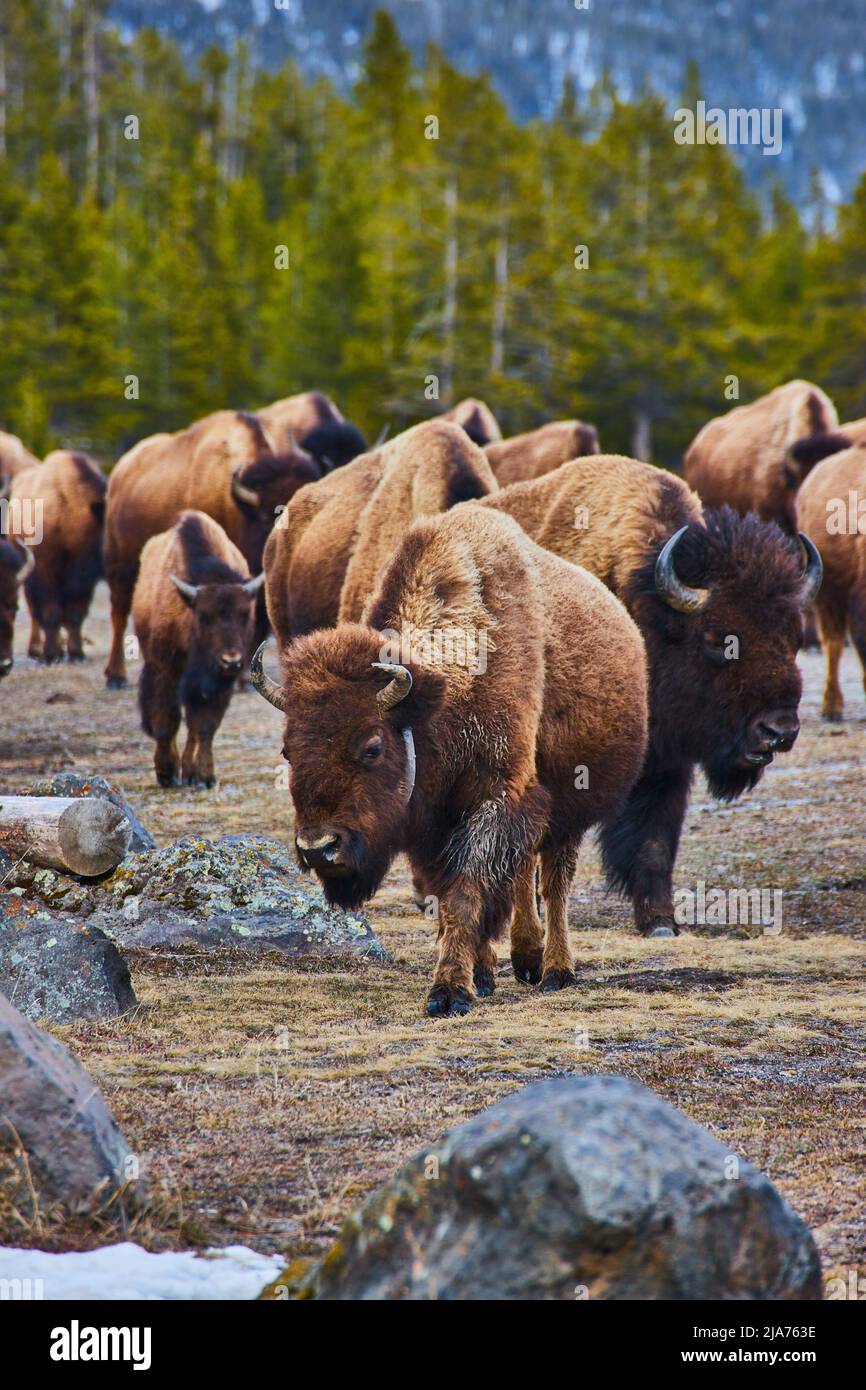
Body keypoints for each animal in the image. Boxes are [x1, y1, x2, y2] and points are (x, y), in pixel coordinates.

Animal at [132, 510, 264, 788]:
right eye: (204, 616)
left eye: (244, 614)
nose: (231, 661)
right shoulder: (164, 671)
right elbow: (166, 720)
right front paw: (166, 773)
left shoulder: (217, 685)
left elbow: (204, 726)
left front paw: (204, 776)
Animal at [251, 503, 648, 1016]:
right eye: (288, 750)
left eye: (373, 746)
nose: (319, 848)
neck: (443, 696)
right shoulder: (434, 825)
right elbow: (452, 893)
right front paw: (478, 975)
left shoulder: (497, 800)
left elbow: (466, 890)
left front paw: (449, 991)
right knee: (523, 874)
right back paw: (522, 959)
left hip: (569, 812)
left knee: (554, 881)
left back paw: (556, 970)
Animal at [482, 455, 822, 937]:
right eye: (718, 639)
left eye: (793, 635)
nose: (779, 730)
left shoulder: (666, 765)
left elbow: (655, 841)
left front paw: (661, 920)